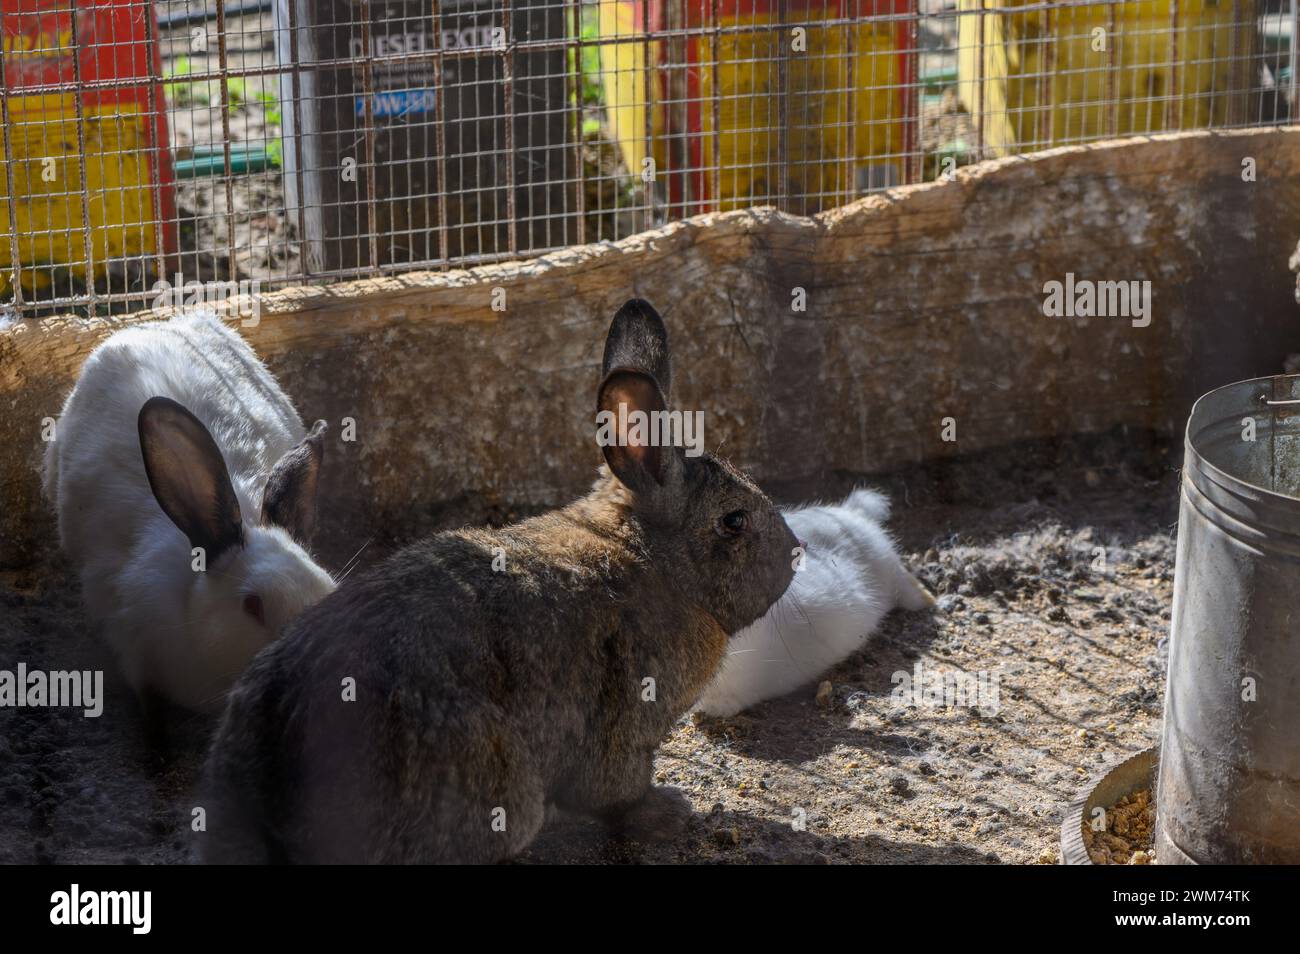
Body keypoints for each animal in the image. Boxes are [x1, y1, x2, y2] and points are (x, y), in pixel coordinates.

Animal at [199, 298, 800, 864]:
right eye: (734, 522)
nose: (795, 555)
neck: (650, 556)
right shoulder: (627, 723)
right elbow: (617, 792)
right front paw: (670, 810)